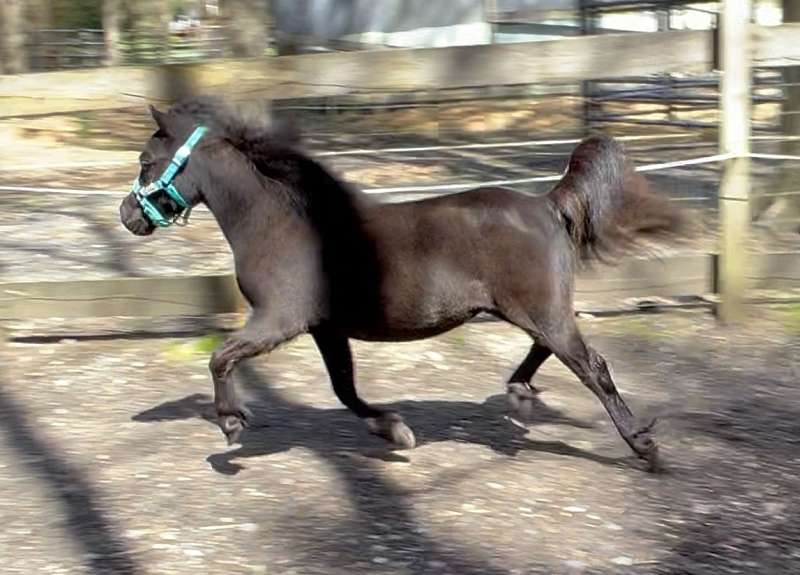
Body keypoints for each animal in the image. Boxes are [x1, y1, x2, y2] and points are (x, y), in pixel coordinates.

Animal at [119, 98, 683, 470]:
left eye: (146, 162)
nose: (127, 216)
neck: (279, 223)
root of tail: (546, 203)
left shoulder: (278, 319)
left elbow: (221, 357)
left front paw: (232, 423)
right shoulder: (325, 328)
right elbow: (344, 388)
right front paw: (395, 430)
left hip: (538, 308)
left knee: (592, 367)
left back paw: (644, 446)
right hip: (529, 309)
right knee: (551, 349)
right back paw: (518, 392)